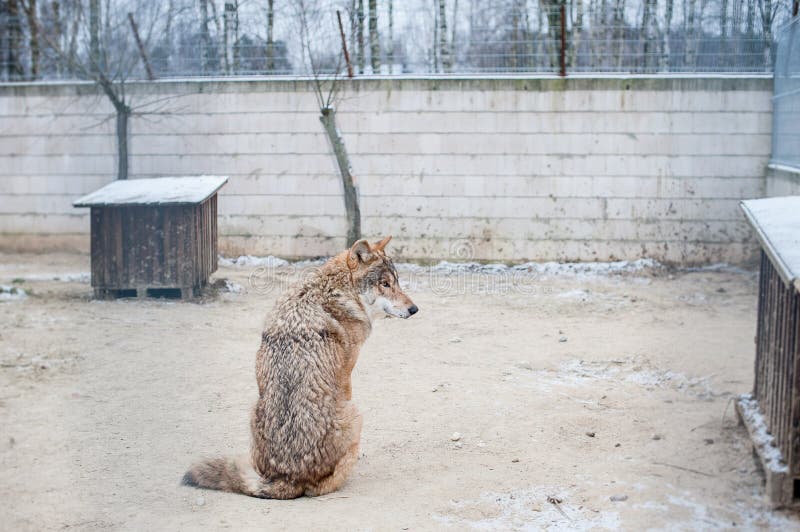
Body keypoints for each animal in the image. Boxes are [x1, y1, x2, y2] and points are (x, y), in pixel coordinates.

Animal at [182, 236, 418, 498]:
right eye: (385, 284)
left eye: (396, 282)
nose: (414, 309)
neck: (338, 291)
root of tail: (287, 477)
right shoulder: (346, 375)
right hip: (356, 414)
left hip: (253, 409)